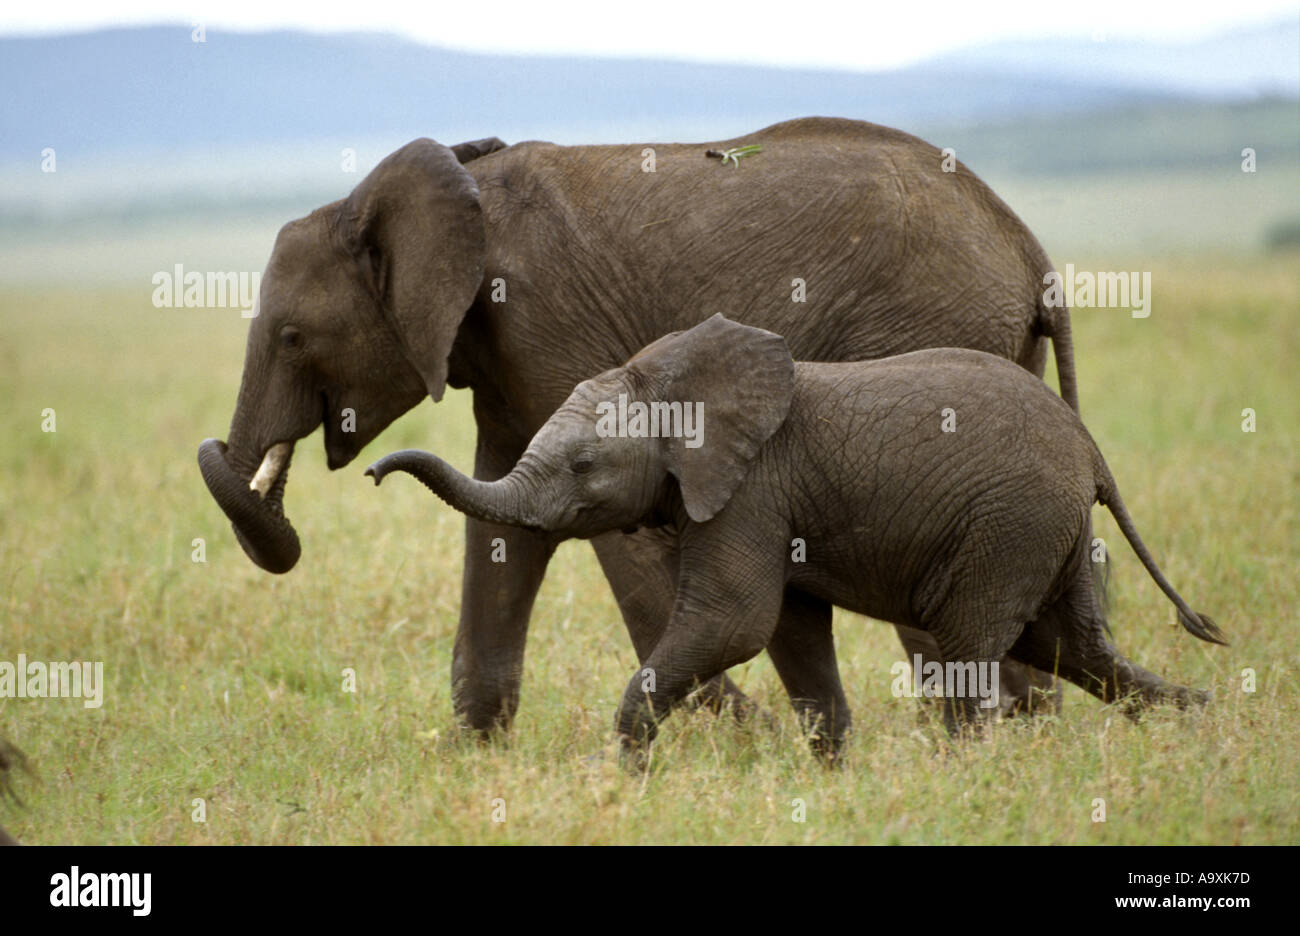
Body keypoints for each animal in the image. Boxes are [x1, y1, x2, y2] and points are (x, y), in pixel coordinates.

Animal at [197, 117, 1082, 734]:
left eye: (291, 337)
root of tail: (1033, 254)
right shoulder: (505, 359)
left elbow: (623, 544)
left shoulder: (547, 321)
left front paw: (743, 742)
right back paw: (1025, 738)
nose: (218, 449)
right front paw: (476, 755)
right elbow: (502, 531)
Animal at [365, 315, 1224, 759]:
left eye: (583, 467)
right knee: (1069, 645)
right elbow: (793, 629)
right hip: (1047, 526)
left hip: (1010, 521)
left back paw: (965, 771)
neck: (667, 377)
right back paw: (1203, 724)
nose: (371, 472)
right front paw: (832, 772)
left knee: (973, 643)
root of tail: (1091, 450)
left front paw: (626, 769)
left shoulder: (750, 490)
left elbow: (735, 621)